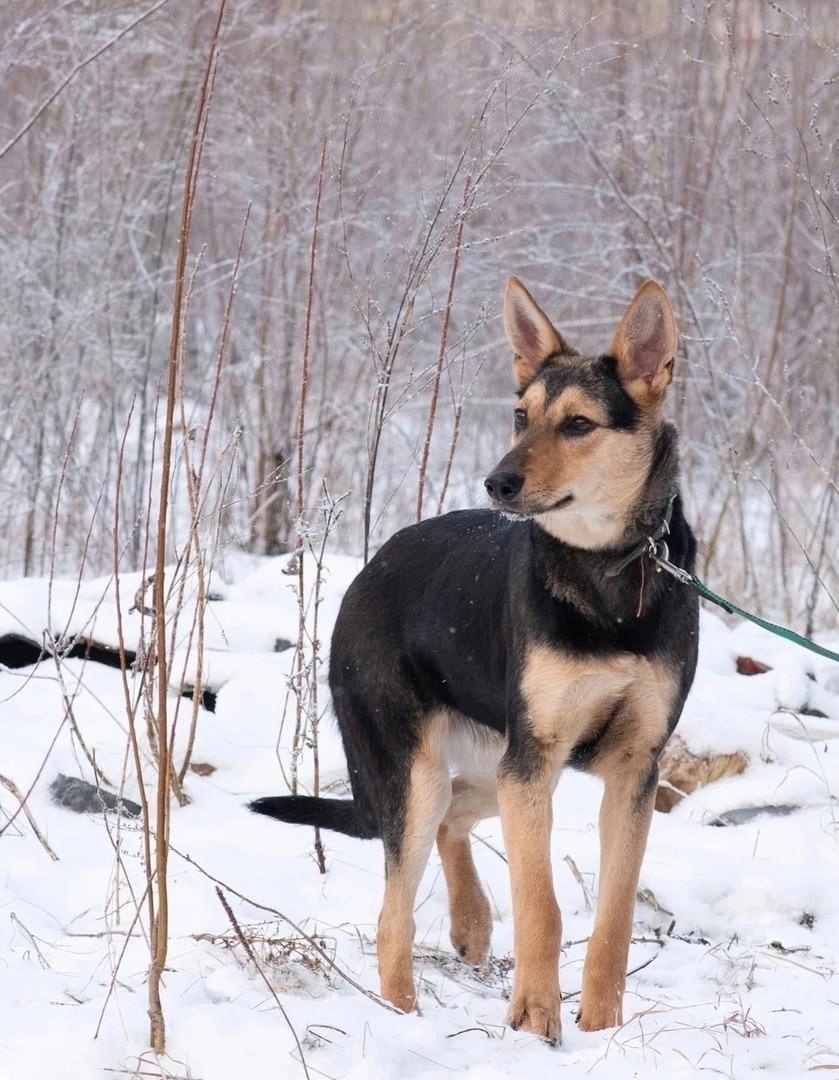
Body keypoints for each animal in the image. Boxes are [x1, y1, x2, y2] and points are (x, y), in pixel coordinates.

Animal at [250, 278, 699, 1045]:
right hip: (434, 773)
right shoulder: (535, 761)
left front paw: (601, 1025)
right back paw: (402, 1016)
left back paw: (470, 922)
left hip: (499, 770)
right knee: (394, 909)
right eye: (521, 416)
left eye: (578, 425)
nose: (497, 483)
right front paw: (534, 1018)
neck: (607, 574)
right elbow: (542, 907)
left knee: (452, 819)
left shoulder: (632, 771)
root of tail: (370, 570)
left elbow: (613, 917)